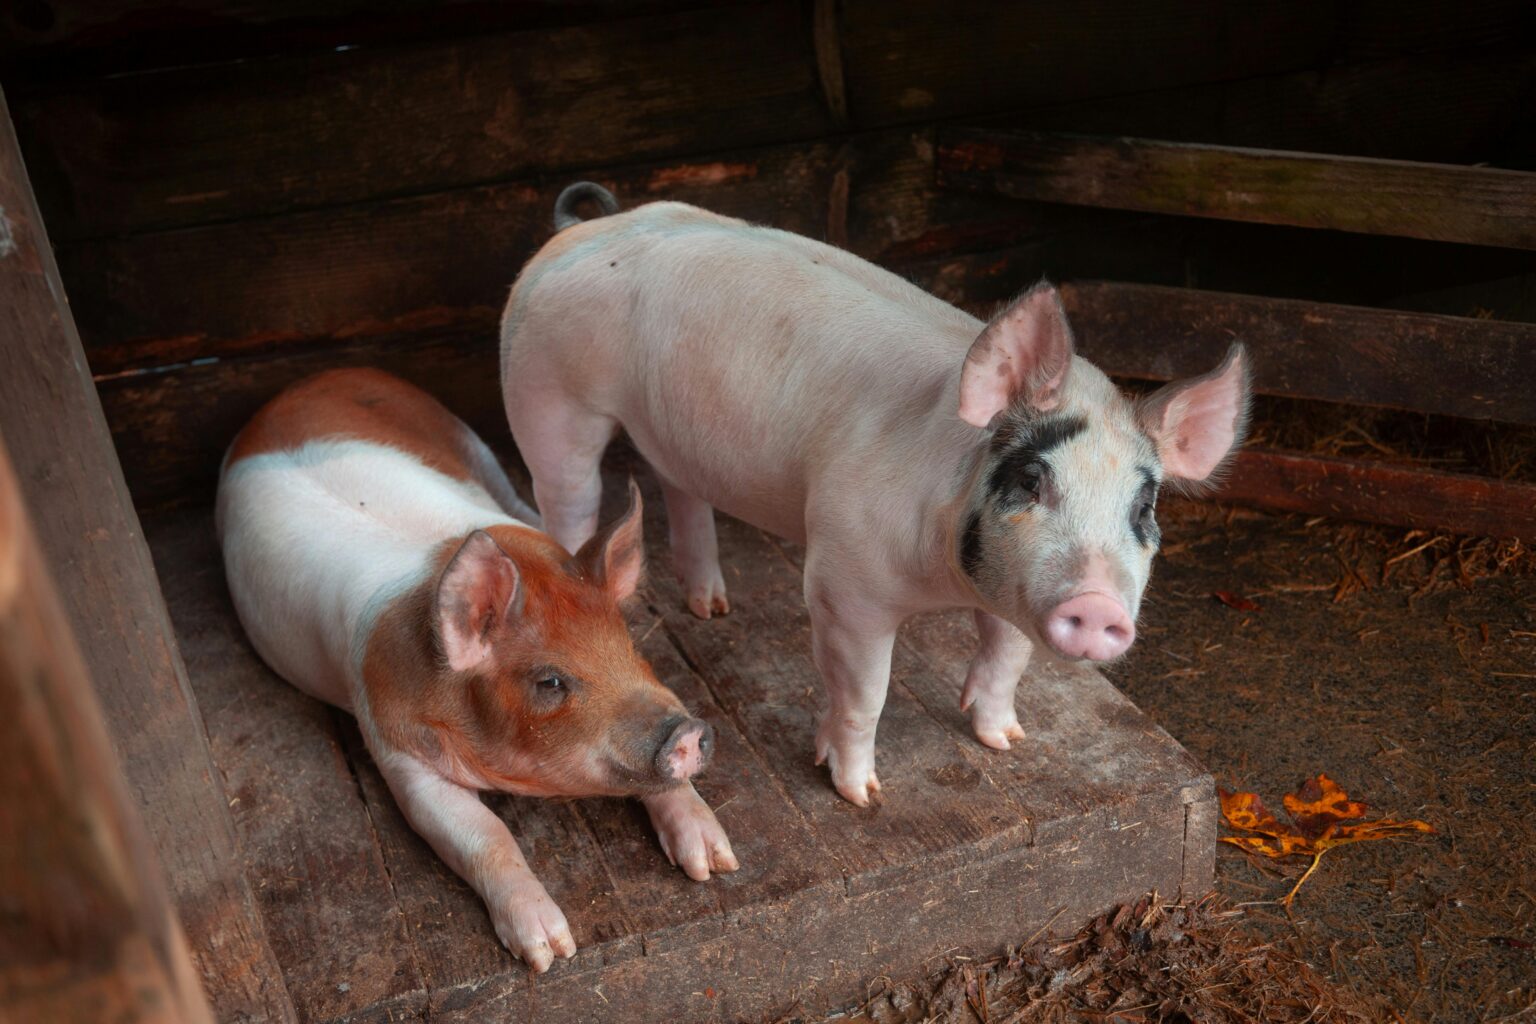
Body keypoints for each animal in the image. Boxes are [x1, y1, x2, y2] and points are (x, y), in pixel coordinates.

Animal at [216, 368, 738, 972]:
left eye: (630, 646)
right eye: (549, 681)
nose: (689, 731)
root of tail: (318, 377)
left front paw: (717, 863)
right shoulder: (396, 747)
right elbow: (486, 834)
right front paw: (551, 952)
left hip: (474, 447)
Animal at [500, 184, 1250, 807]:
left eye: (1143, 508)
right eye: (1032, 479)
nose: (1096, 605)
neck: (945, 582)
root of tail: (580, 227)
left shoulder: (1014, 589)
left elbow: (1007, 657)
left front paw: (1005, 741)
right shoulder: (842, 584)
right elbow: (866, 694)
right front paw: (861, 794)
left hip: (671, 427)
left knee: (678, 485)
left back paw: (713, 607)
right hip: (548, 397)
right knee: (566, 501)